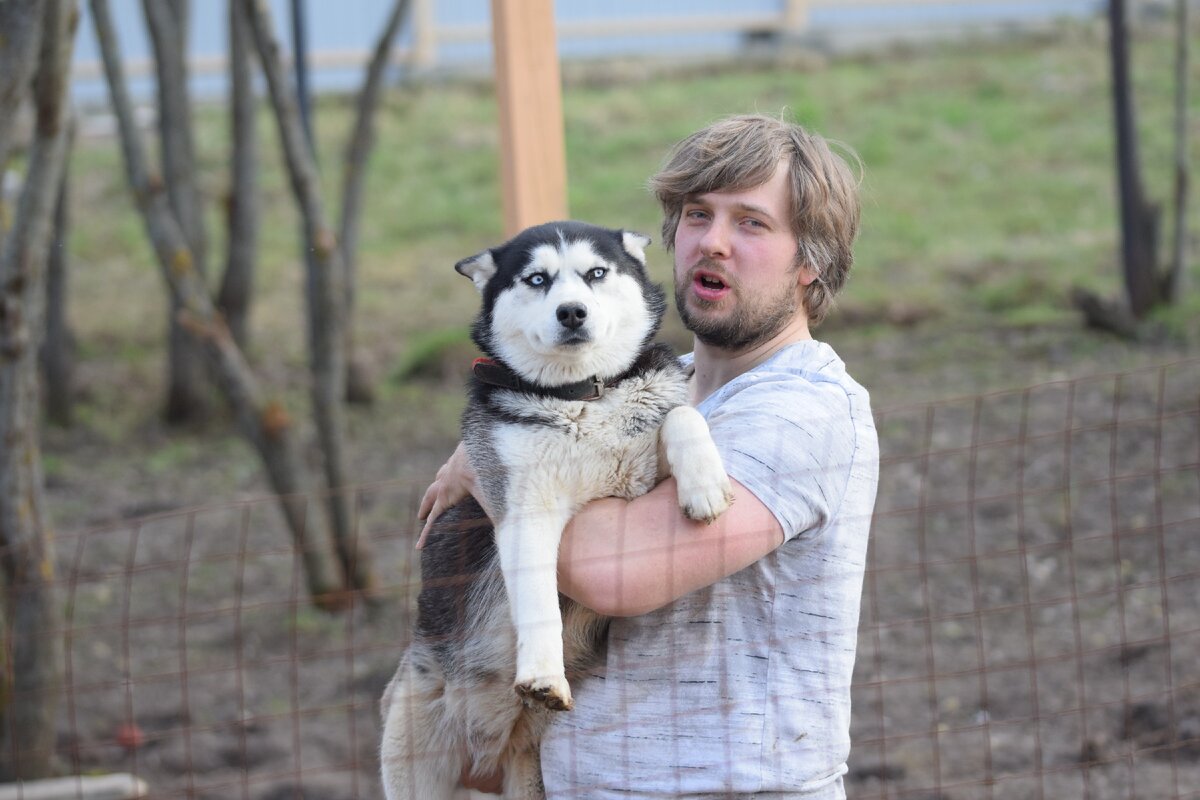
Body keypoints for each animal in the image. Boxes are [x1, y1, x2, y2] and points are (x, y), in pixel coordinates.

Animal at [379, 220, 729, 800]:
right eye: (537, 279)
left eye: (596, 273)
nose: (572, 312)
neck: (579, 397)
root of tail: (486, 752)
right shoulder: (523, 507)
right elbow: (539, 597)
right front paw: (544, 676)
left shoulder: (638, 481)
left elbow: (682, 416)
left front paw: (705, 484)